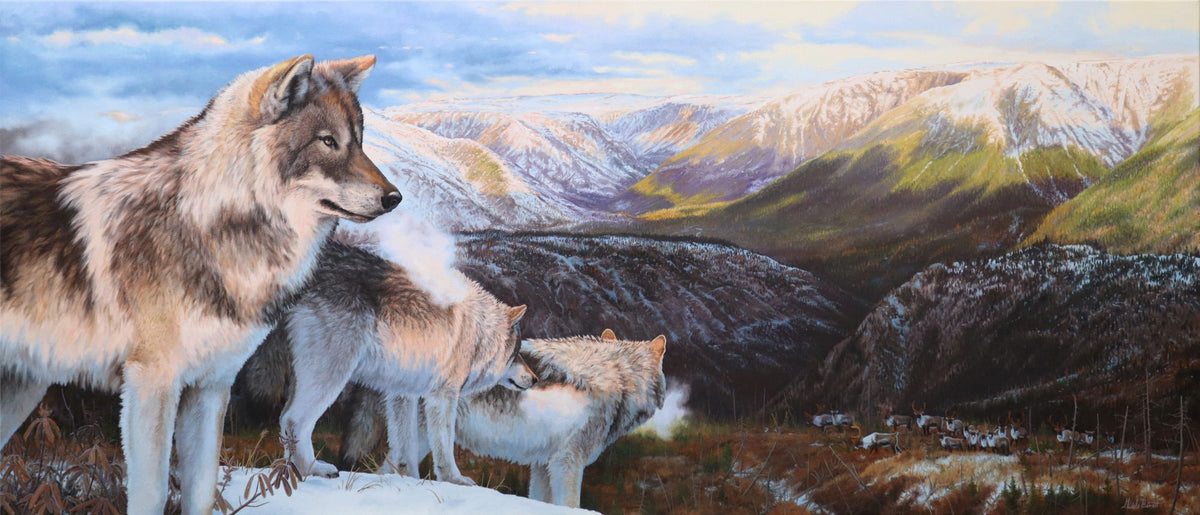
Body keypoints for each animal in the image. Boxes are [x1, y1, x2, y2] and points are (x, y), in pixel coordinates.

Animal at [1, 54, 398, 514]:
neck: (210, 228)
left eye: (359, 142)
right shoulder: (152, 382)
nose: (395, 198)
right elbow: (152, 490)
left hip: (22, 390)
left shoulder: (211, 388)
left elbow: (202, 489)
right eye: (327, 141)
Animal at [241, 238, 533, 485]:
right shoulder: (443, 396)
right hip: (331, 375)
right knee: (293, 419)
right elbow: (443, 446)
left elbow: (405, 445)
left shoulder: (402, 394)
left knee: (285, 417)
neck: (481, 331)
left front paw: (410, 479)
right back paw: (312, 470)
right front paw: (454, 479)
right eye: (518, 351)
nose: (534, 378)